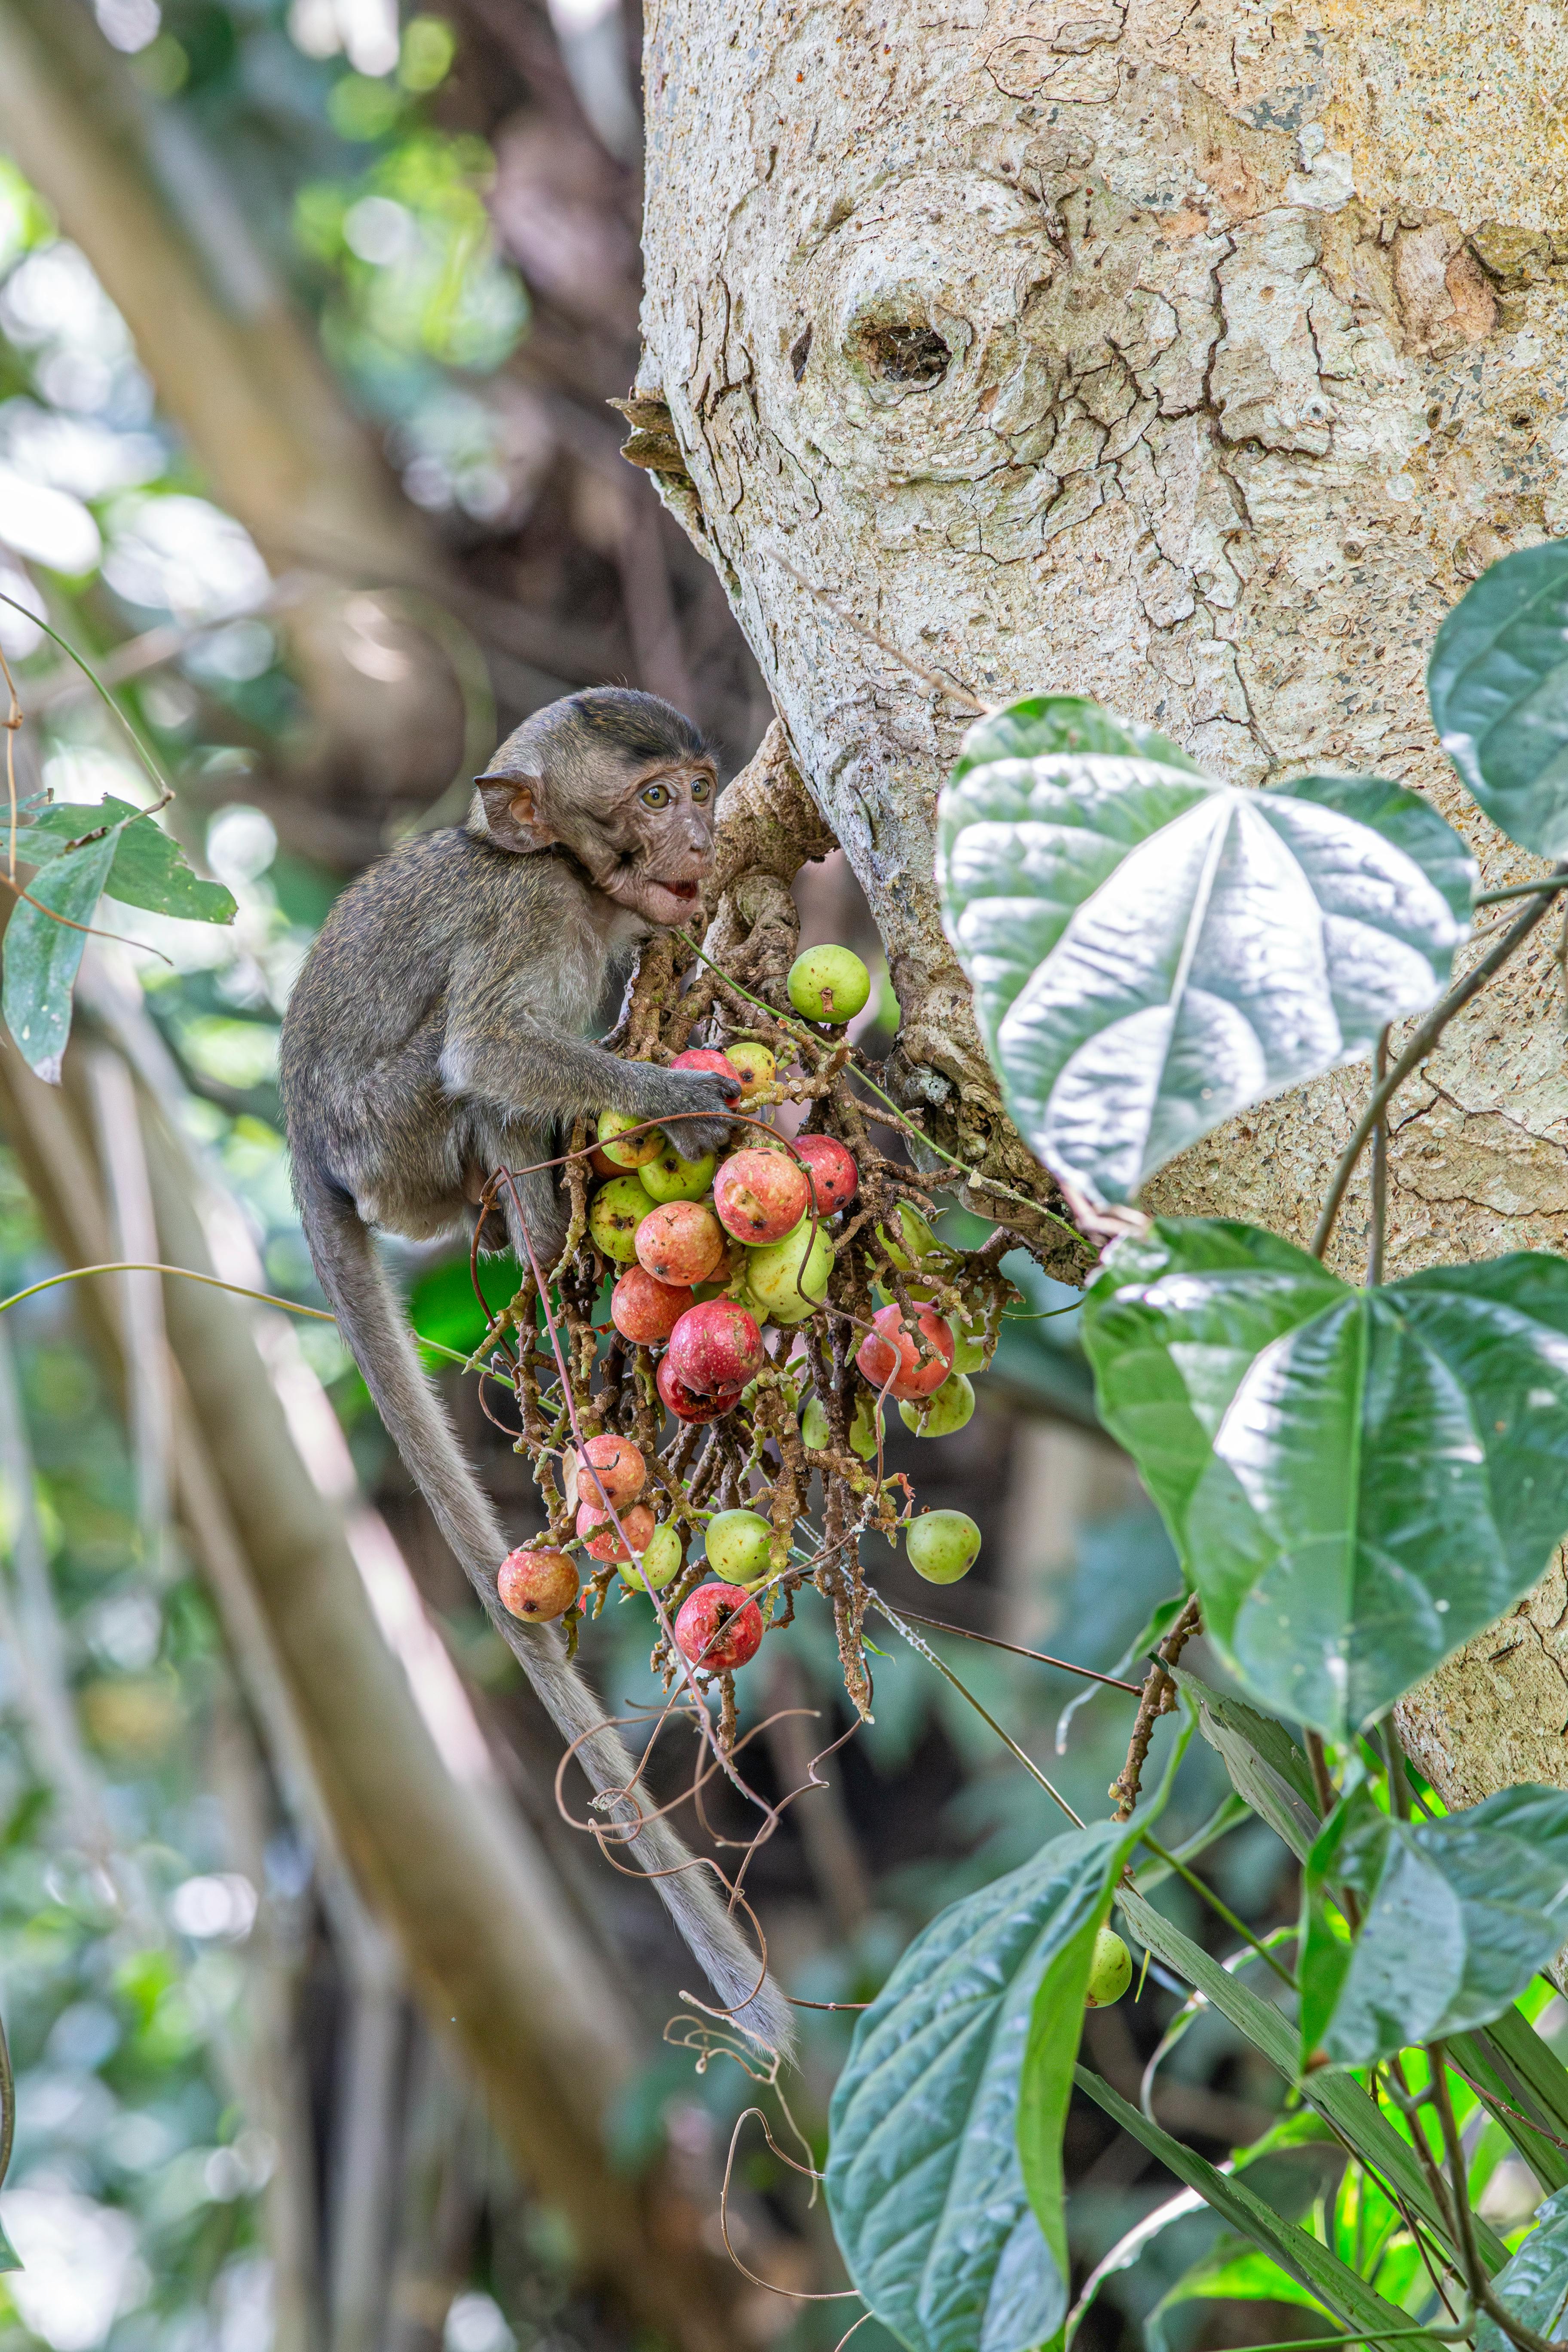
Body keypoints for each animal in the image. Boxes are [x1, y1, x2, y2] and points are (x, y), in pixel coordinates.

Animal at [279, 688, 794, 2054]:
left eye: (698, 788)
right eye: (651, 797)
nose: (697, 837)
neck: (559, 866)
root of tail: (301, 1141)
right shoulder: (537, 919)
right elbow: (493, 1049)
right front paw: (673, 1097)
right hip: (396, 1144)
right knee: (480, 1092)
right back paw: (550, 1235)